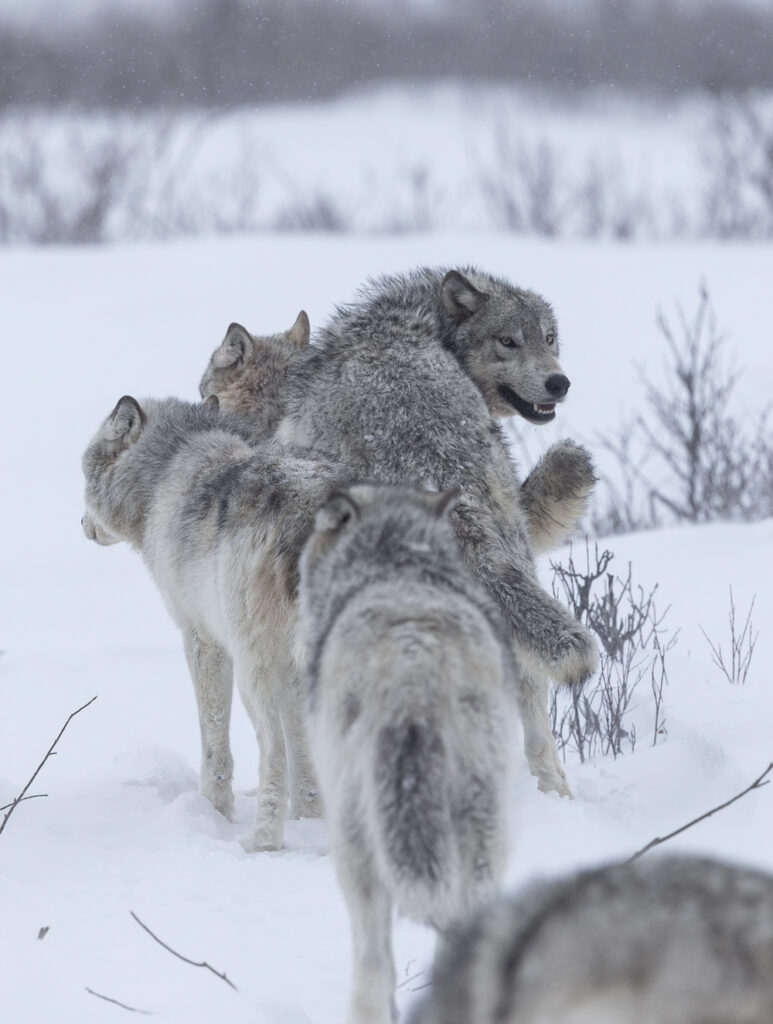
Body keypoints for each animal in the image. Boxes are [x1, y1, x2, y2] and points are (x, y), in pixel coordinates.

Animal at [82, 393, 343, 850]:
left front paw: (213, 811)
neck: (165, 474)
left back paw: (262, 843)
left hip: (254, 669)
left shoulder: (202, 639)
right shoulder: (292, 671)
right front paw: (310, 821)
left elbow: (215, 742)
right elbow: (305, 759)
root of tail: (312, 508)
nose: (81, 524)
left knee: (272, 753)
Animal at [279, 266, 597, 796]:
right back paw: (553, 793)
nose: (559, 382)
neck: (417, 320)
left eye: (548, 338)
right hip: (511, 560)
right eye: (508, 341)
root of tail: (438, 464)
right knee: (532, 707)